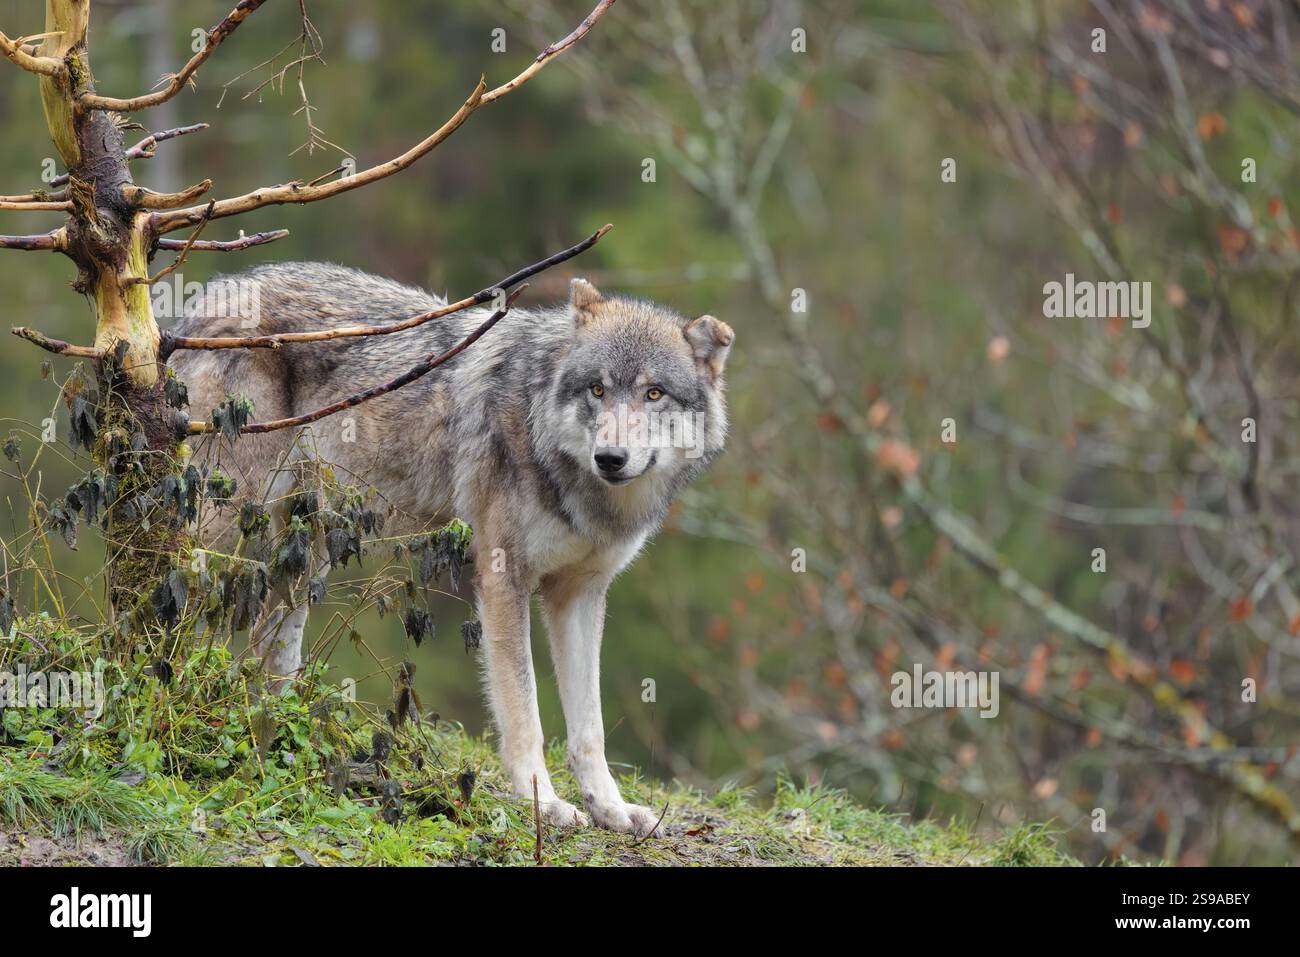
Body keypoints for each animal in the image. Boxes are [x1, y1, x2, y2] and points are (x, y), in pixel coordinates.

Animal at [168, 262, 733, 836]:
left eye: (654, 394)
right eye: (597, 389)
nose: (610, 458)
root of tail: (217, 290)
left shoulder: (580, 593)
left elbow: (589, 728)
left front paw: (610, 808)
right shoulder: (503, 578)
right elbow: (524, 711)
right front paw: (543, 803)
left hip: (312, 550)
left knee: (270, 647)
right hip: (229, 524)